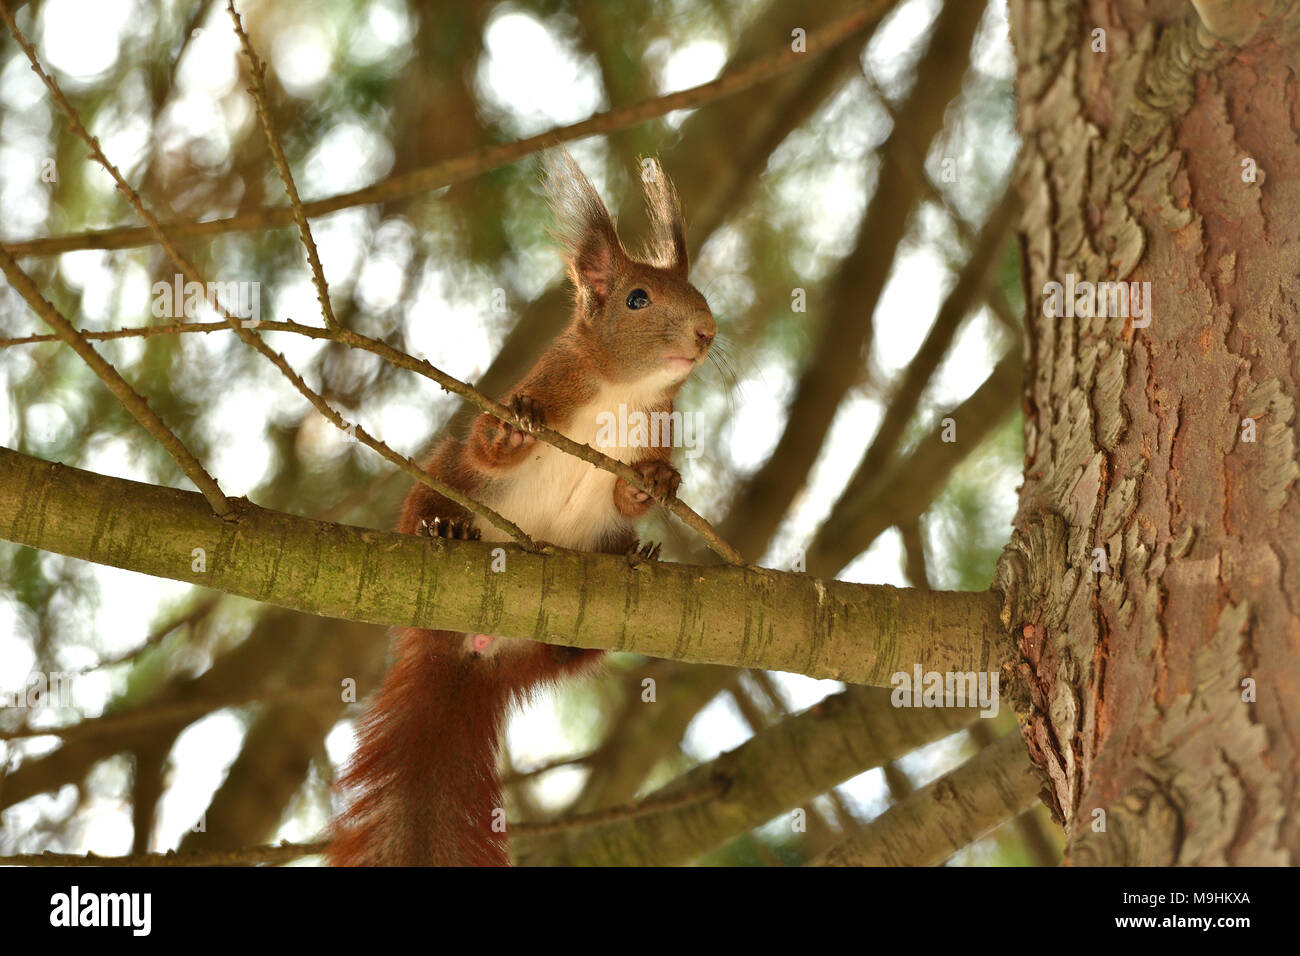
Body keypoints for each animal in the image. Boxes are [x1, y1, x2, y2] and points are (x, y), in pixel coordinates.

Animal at [327, 149, 716, 866]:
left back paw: (633, 559)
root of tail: (477, 649)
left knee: (571, 651)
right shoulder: (544, 386)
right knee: (439, 496)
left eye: (700, 294)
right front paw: (515, 431)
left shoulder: (657, 427)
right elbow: (492, 445)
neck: (623, 390)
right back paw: (447, 527)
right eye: (637, 299)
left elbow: (628, 493)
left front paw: (654, 485)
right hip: (440, 479)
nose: (707, 332)